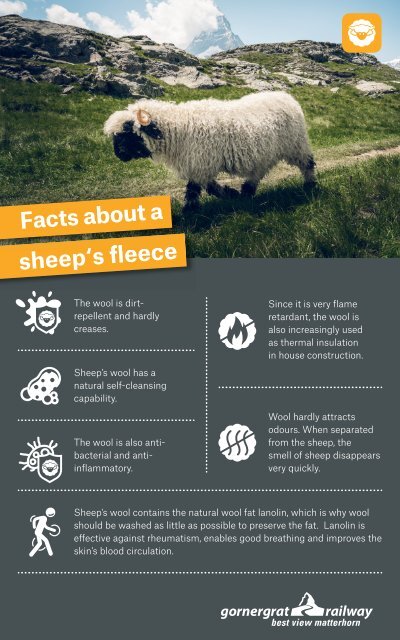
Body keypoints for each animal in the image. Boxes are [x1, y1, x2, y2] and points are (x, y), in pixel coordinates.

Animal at [104, 91, 316, 215]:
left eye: (128, 133)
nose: (118, 154)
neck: (179, 129)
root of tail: (287, 96)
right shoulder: (200, 164)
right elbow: (210, 187)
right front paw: (230, 194)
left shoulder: (201, 161)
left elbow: (194, 190)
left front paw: (189, 213)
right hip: (267, 152)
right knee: (258, 172)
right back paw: (246, 193)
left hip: (296, 144)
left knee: (308, 163)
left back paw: (311, 186)